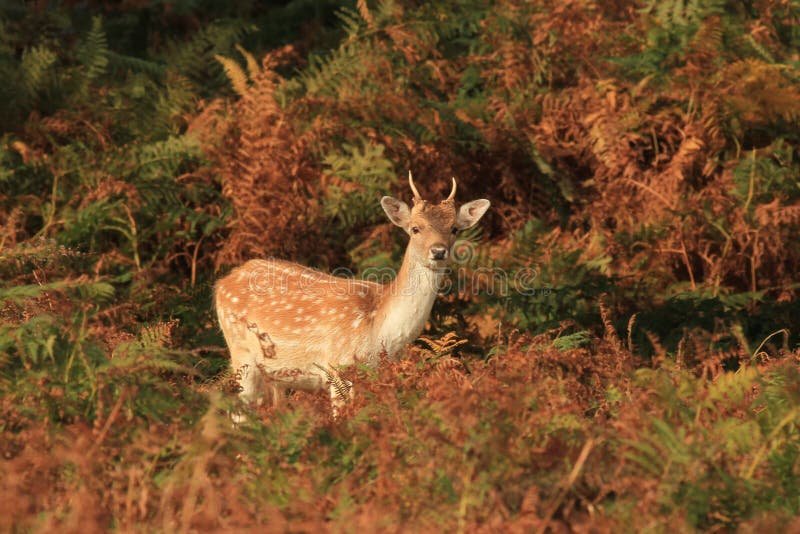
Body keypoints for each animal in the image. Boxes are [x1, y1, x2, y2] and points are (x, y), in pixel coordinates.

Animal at [214, 172, 490, 418]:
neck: (379, 331)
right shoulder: (338, 369)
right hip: (241, 356)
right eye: (415, 228)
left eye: (454, 229)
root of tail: (221, 283)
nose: (438, 251)